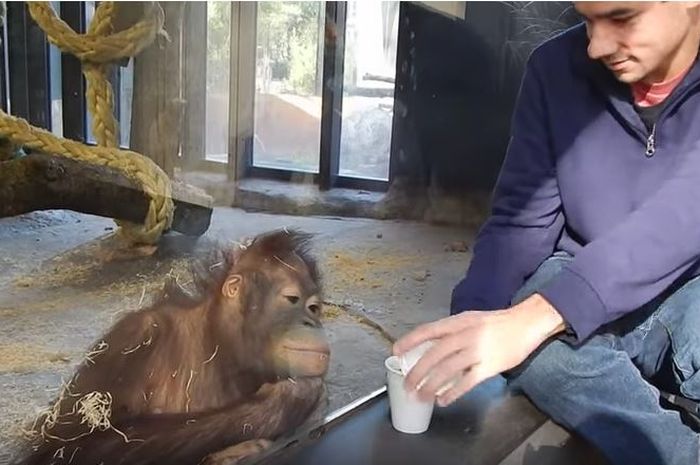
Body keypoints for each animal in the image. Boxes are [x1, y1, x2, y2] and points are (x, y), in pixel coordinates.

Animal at [17, 229, 330, 465]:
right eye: (292, 299)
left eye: (314, 308)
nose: (311, 323)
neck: (218, 343)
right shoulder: (131, 339)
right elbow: (66, 446)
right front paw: (288, 399)